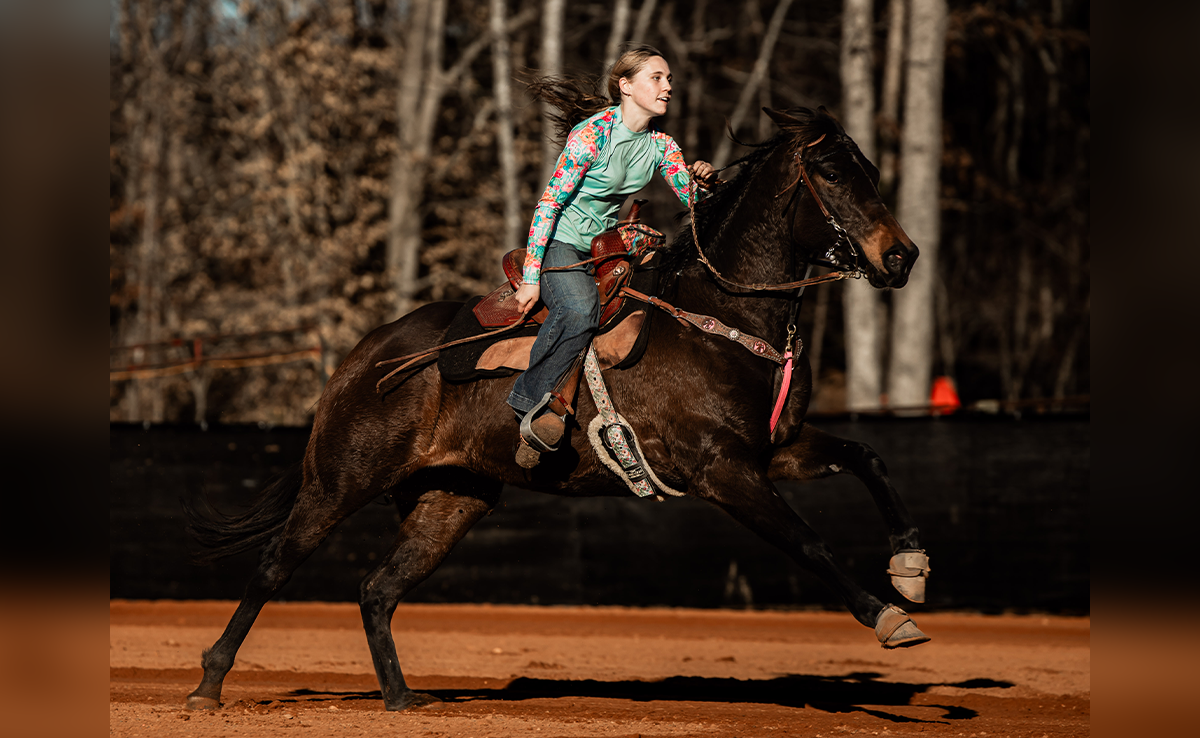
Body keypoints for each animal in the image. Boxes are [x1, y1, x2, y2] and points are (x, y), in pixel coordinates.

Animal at [184, 106, 928, 713]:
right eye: (830, 174)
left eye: (870, 171)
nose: (902, 256)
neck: (720, 318)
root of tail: (362, 358)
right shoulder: (724, 470)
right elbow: (810, 541)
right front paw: (889, 618)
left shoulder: (777, 450)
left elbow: (869, 456)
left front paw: (910, 571)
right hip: (341, 480)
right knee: (276, 566)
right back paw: (208, 684)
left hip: (452, 498)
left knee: (377, 589)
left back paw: (400, 698)